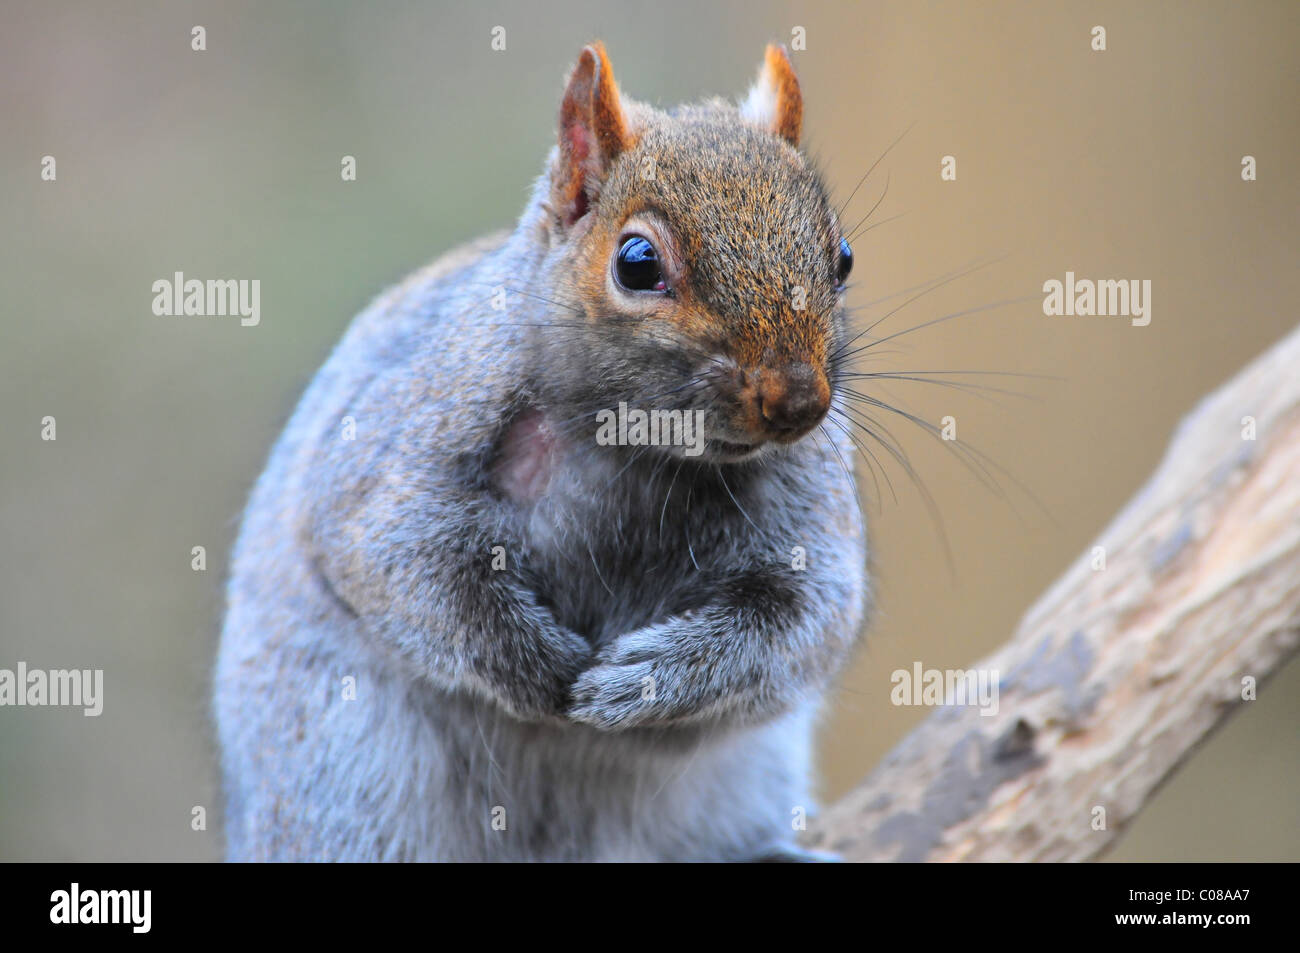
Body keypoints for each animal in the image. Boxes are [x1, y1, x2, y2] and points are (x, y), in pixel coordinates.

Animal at [215, 42, 868, 862]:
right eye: (637, 263)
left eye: (841, 257)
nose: (798, 400)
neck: (636, 450)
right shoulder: (404, 443)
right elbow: (394, 554)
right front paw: (533, 665)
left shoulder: (807, 513)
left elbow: (805, 620)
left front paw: (646, 681)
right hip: (341, 775)